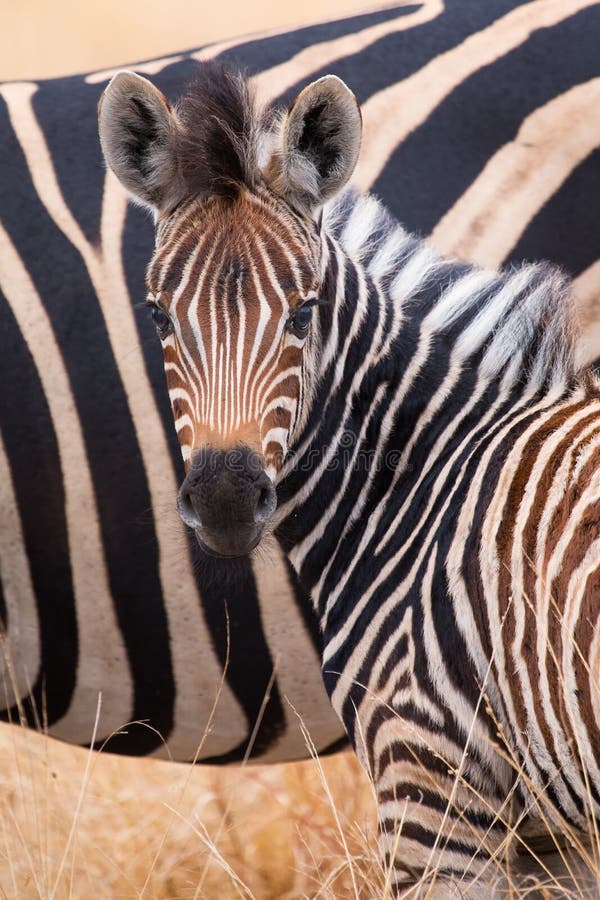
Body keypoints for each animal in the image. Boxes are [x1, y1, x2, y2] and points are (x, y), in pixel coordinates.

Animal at [99, 60, 600, 893]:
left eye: (303, 314)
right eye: (160, 318)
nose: (227, 501)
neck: (427, 481)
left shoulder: (429, 789)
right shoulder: (550, 839)